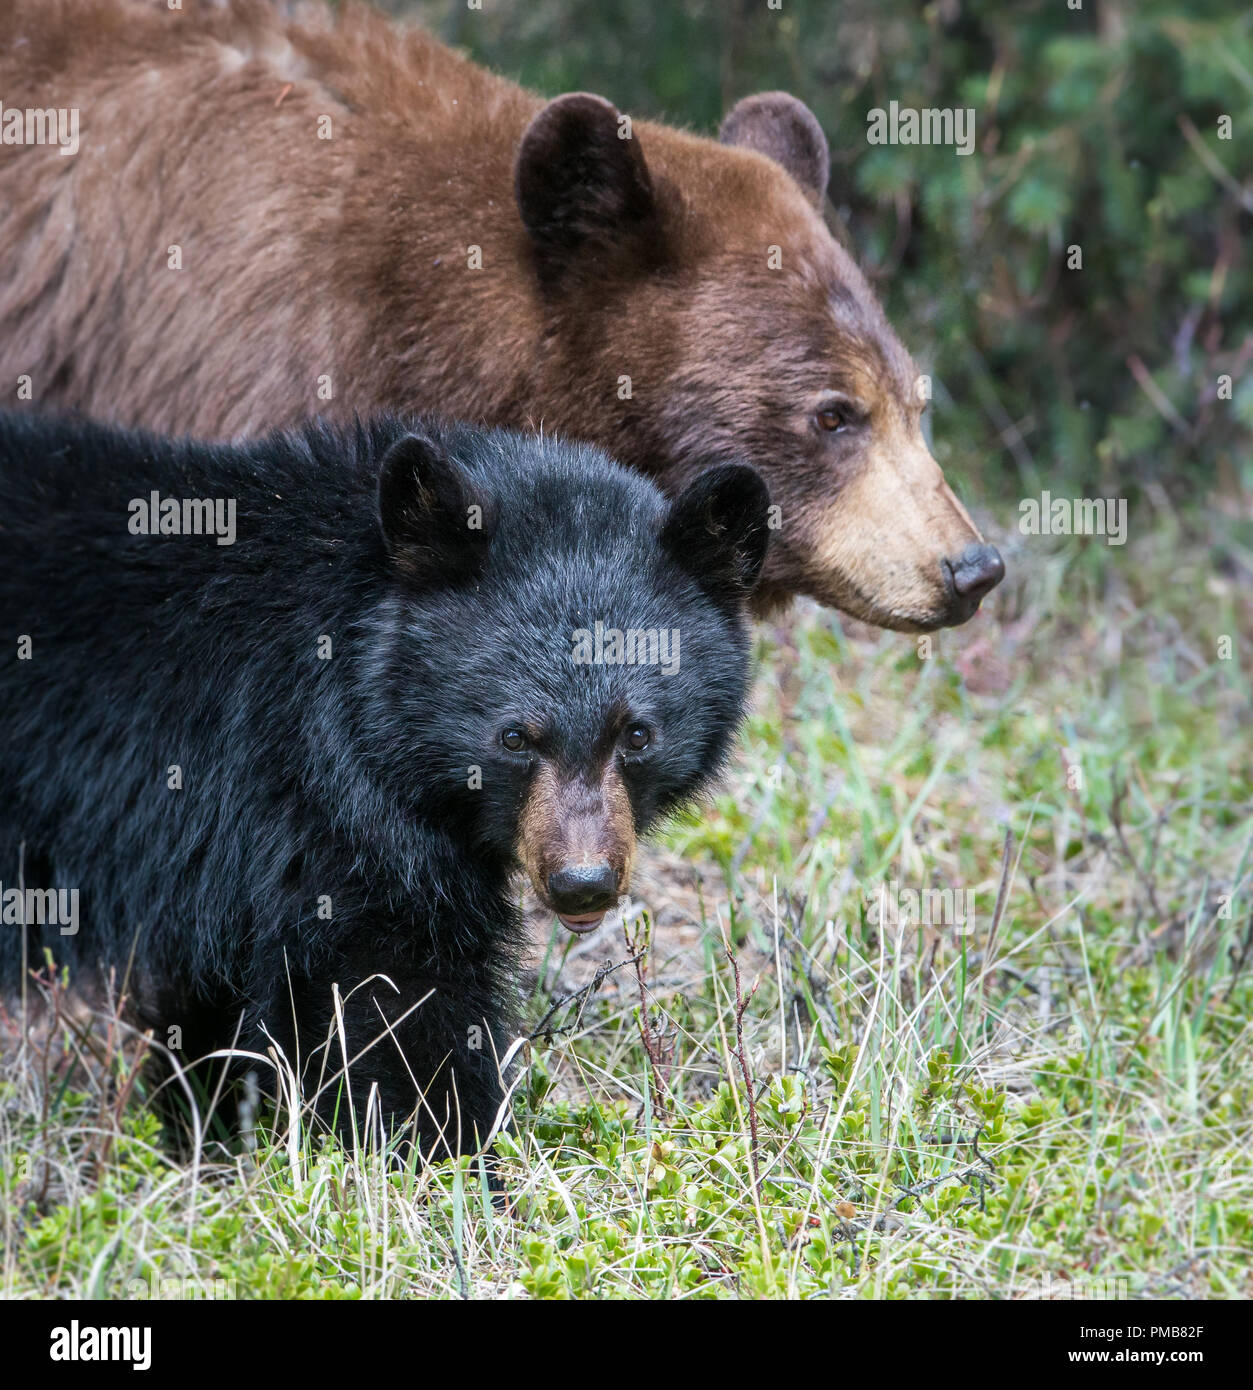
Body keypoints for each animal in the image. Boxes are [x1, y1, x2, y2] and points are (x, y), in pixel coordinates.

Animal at [0, 410, 769, 1158]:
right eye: (514, 737)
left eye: (636, 734)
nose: (583, 884)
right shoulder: (313, 801)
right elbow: (390, 989)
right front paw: (452, 1156)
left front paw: (212, 1133)